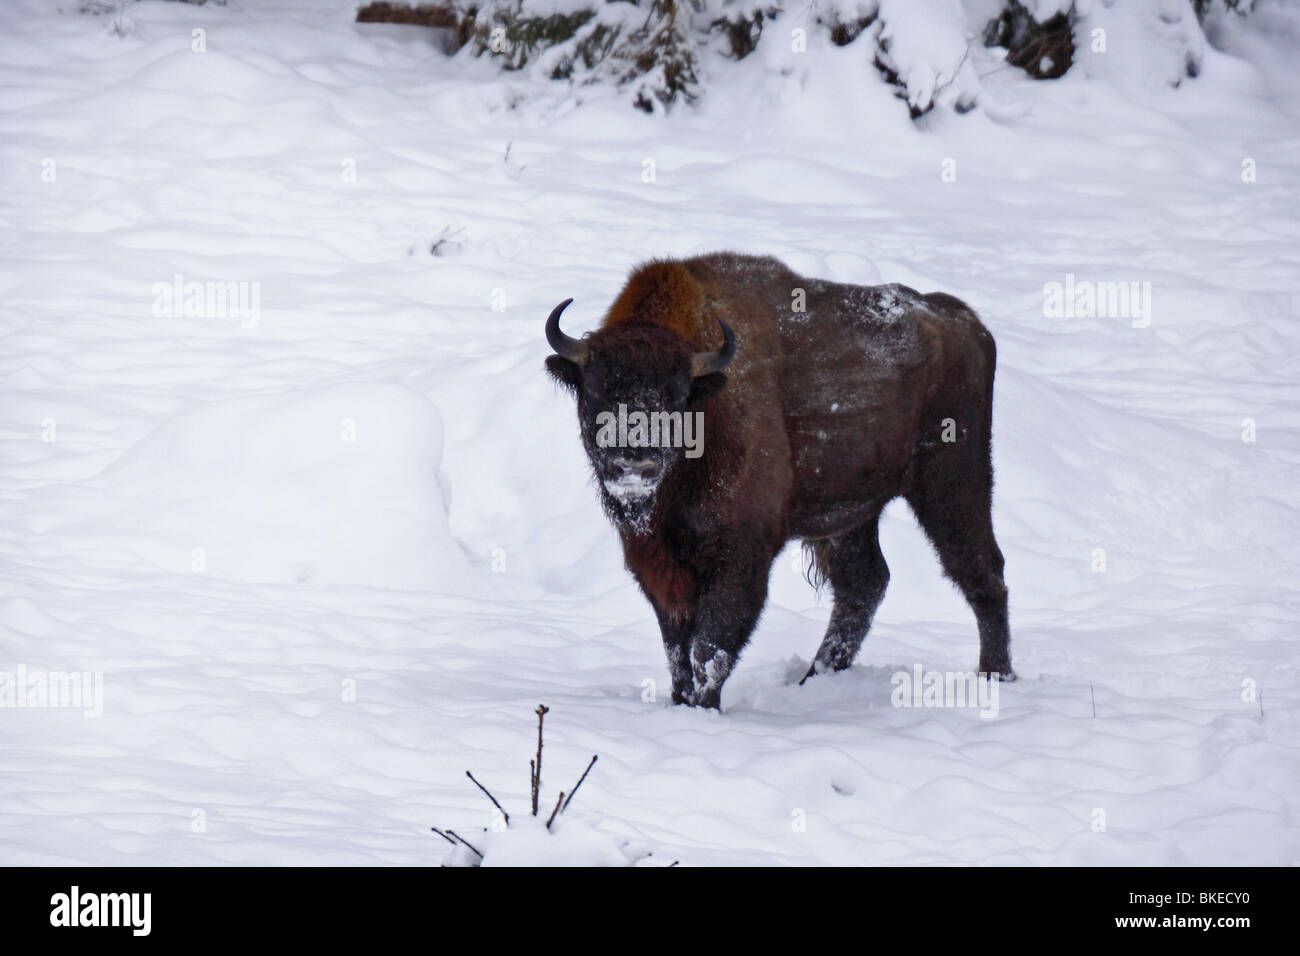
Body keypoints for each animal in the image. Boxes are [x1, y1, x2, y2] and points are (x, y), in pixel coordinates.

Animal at [544, 252, 1013, 709]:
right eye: (596, 390)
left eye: (675, 397)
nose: (634, 464)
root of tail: (965, 322)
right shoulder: (659, 563)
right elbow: (676, 646)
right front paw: (680, 702)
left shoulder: (742, 555)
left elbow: (710, 646)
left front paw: (704, 707)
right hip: (850, 515)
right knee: (864, 584)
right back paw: (813, 680)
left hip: (953, 480)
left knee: (980, 570)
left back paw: (996, 676)